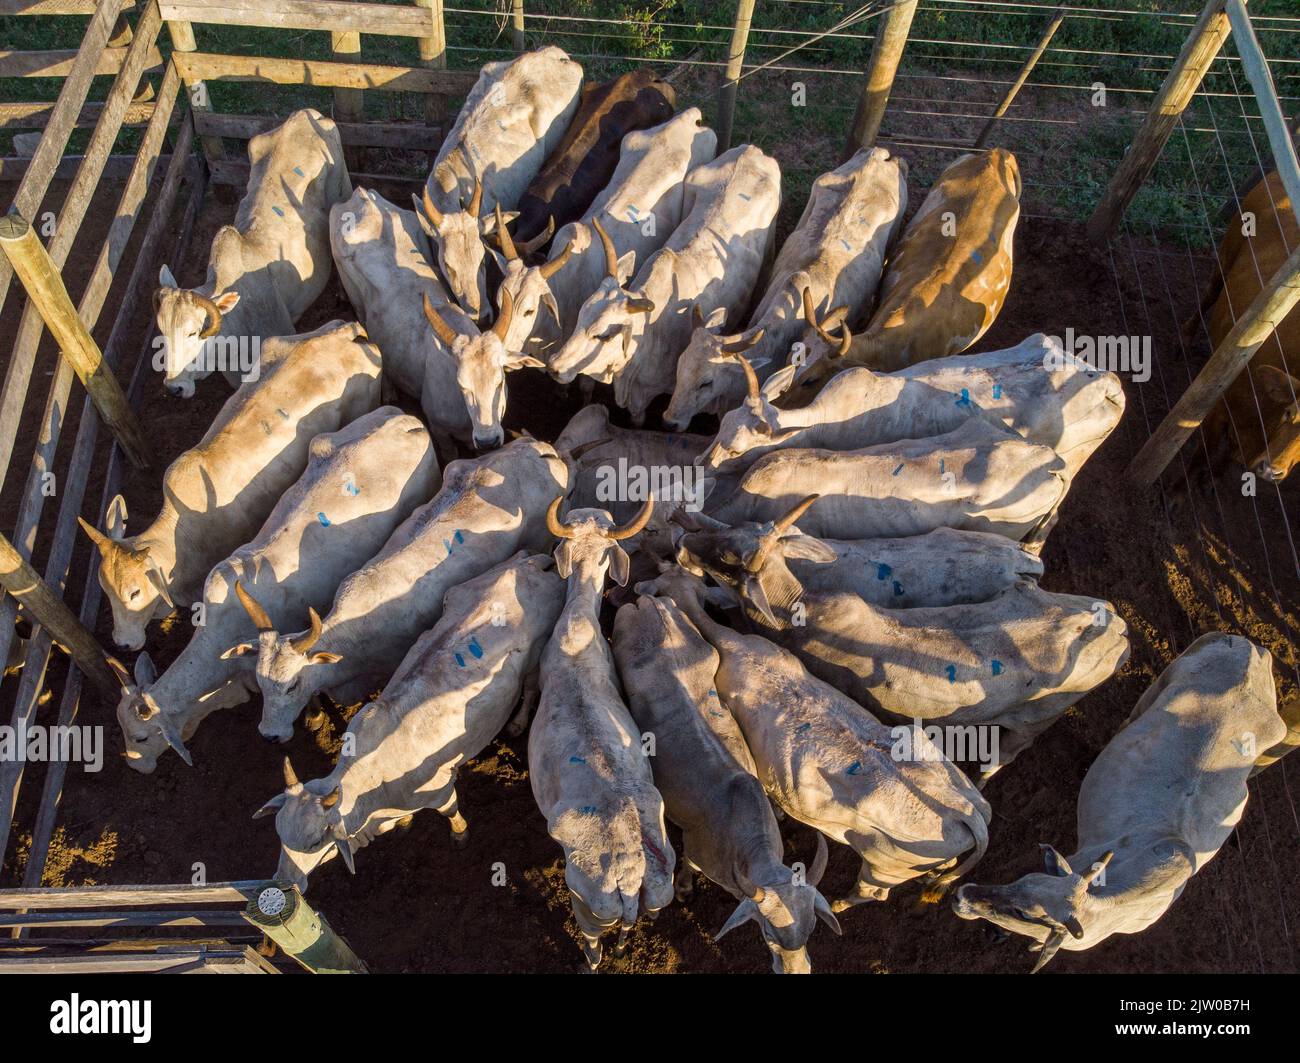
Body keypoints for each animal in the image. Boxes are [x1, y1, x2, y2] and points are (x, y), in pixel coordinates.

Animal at [257, 552, 565, 891]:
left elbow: (450, 811)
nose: (284, 882)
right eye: (279, 833)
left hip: (536, 657)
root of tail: (530, 565)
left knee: (531, 688)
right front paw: (405, 821)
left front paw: (460, 833)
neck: (372, 780)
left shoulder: (440, 789)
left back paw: (518, 723)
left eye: (313, 842)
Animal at [528, 496, 675, 968]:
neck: (577, 627)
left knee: (593, 945)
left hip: (589, 906)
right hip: (658, 893)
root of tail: (631, 876)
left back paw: (586, 961)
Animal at [612, 592, 840, 972]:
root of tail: (647, 602)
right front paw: (685, 889)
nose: (798, 969)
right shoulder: (696, 850)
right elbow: (688, 866)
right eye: (768, 933)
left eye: (811, 929)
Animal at [673, 497, 1129, 773]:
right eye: (738, 527)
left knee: (1008, 752)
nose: (682, 534)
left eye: (727, 559)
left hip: (1036, 721)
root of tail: (1119, 632)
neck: (795, 611)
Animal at [1198, 170, 1300, 481]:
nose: (1271, 470)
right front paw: (1177, 489)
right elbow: (1203, 453)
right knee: (1207, 296)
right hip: (1225, 256)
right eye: (1290, 413)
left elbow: (1222, 462)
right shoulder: (1220, 409)